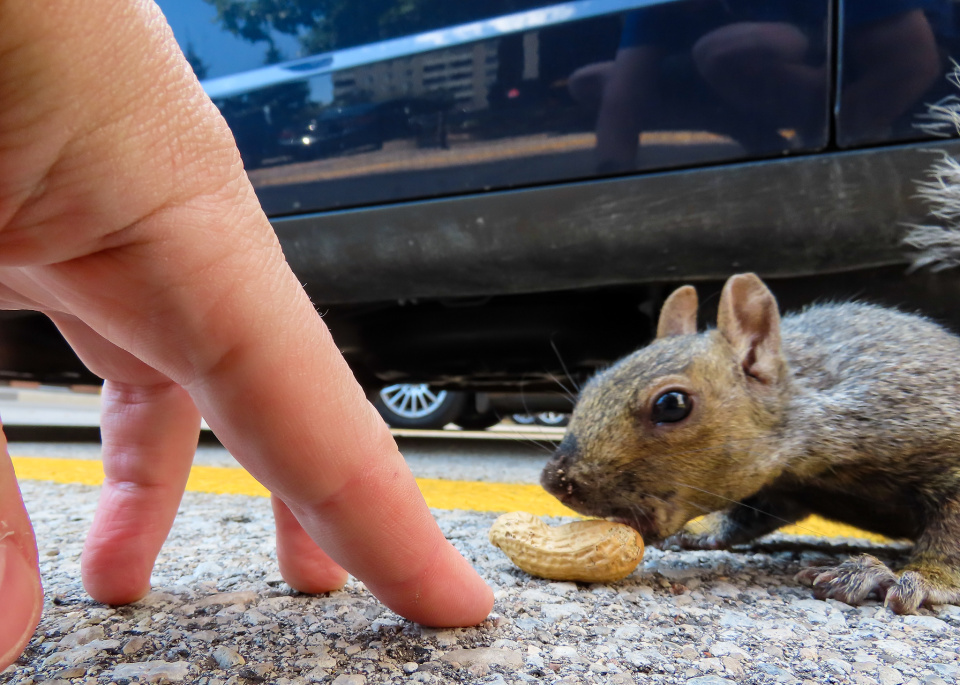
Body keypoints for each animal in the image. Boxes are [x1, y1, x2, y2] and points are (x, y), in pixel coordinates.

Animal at [540, 273, 960, 613]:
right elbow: (752, 512)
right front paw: (703, 529)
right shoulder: (778, 487)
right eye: (592, 384)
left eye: (672, 404)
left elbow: (950, 530)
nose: (555, 481)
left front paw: (922, 576)